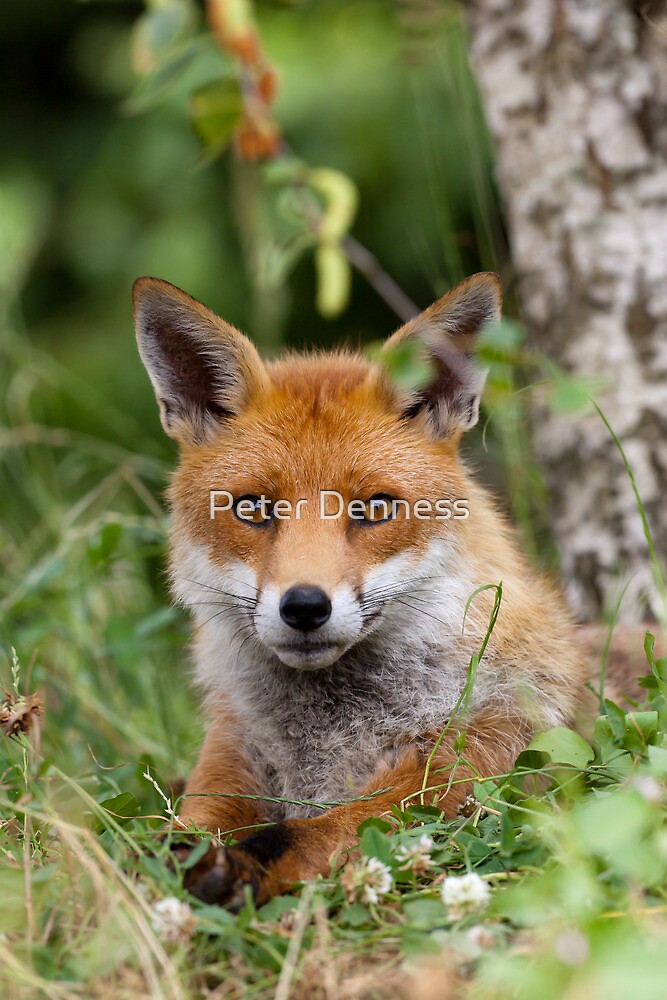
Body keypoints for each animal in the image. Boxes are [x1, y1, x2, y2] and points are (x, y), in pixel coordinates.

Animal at [132, 272, 587, 908]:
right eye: (252, 509)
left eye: (373, 509)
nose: (304, 607)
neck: (329, 734)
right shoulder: (228, 757)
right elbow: (182, 831)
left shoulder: (463, 766)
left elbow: (311, 831)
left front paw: (237, 865)